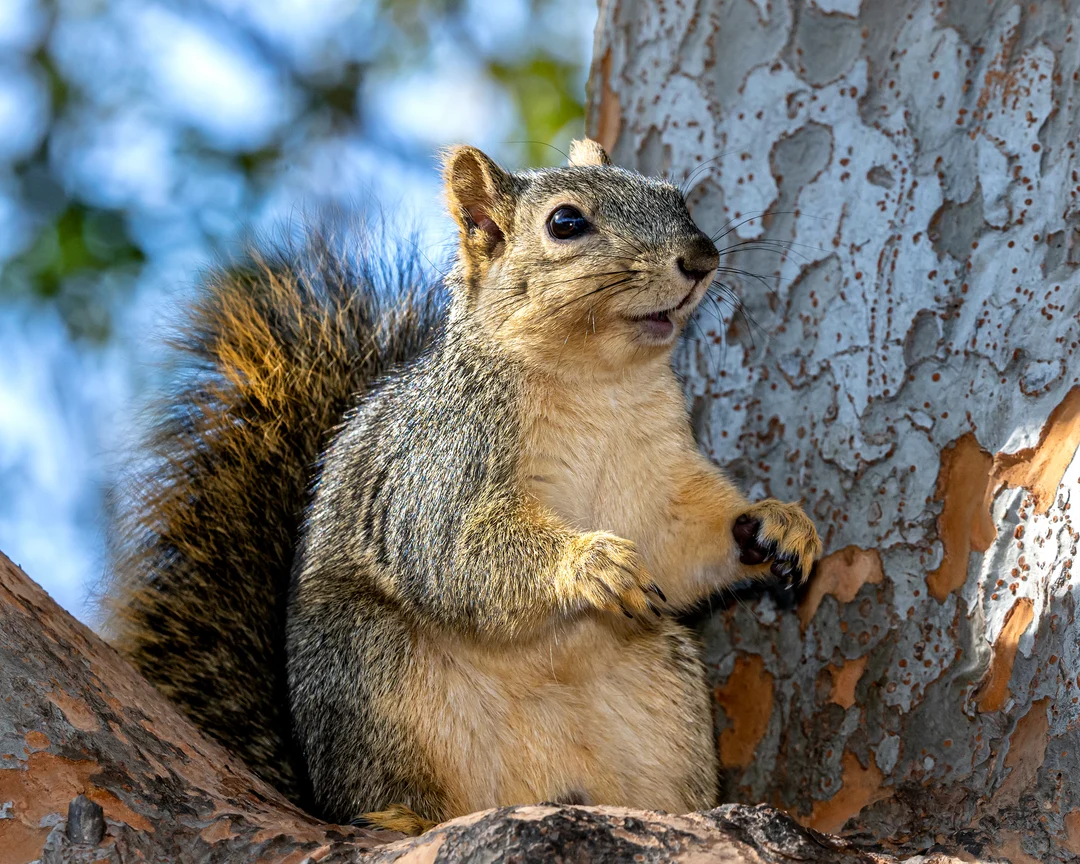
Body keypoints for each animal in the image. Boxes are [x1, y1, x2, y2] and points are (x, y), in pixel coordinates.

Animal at [104, 138, 822, 835]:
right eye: (566, 222)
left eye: (676, 197)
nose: (701, 258)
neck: (598, 382)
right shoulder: (440, 465)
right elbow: (455, 549)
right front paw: (589, 562)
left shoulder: (658, 475)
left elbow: (681, 539)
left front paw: (772, 523)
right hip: (374, 676)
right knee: (392, 788)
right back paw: (398, 816)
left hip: (663, 698)